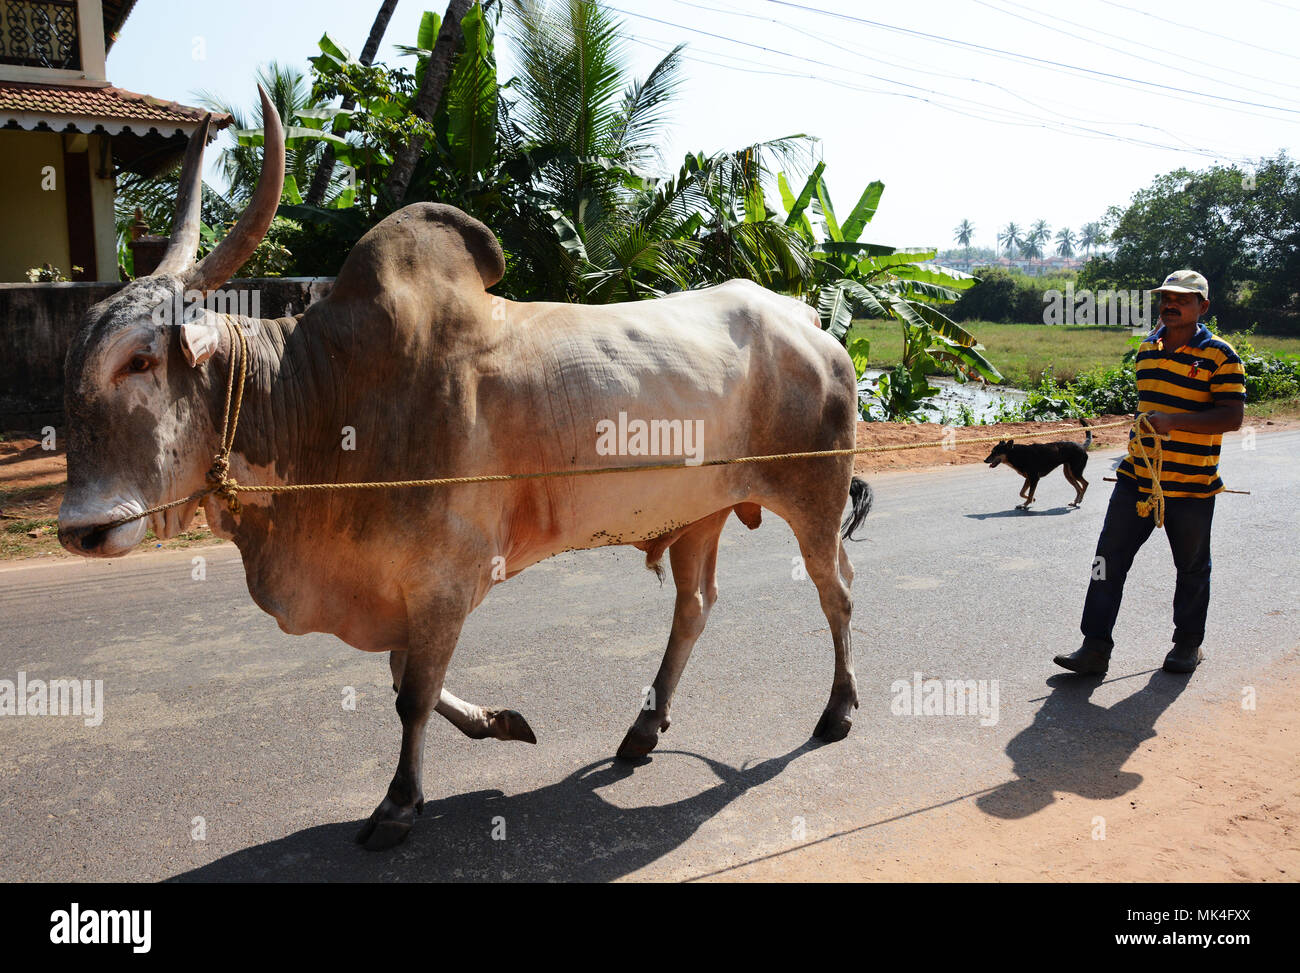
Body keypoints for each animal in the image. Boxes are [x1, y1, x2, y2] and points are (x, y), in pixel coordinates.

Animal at [58, 88, 873, 850]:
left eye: (139, 360)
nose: (78, 529)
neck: (324, 394)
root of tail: (806, 319)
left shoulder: (445, 574)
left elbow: (413, 693)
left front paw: (398, 803)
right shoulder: (402, 584)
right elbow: (408, 676)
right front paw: (498, 721)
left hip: (816, 493)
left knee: (836, 590)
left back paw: (835, 711)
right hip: (701, 512)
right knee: (695, 607)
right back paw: (643, 730)